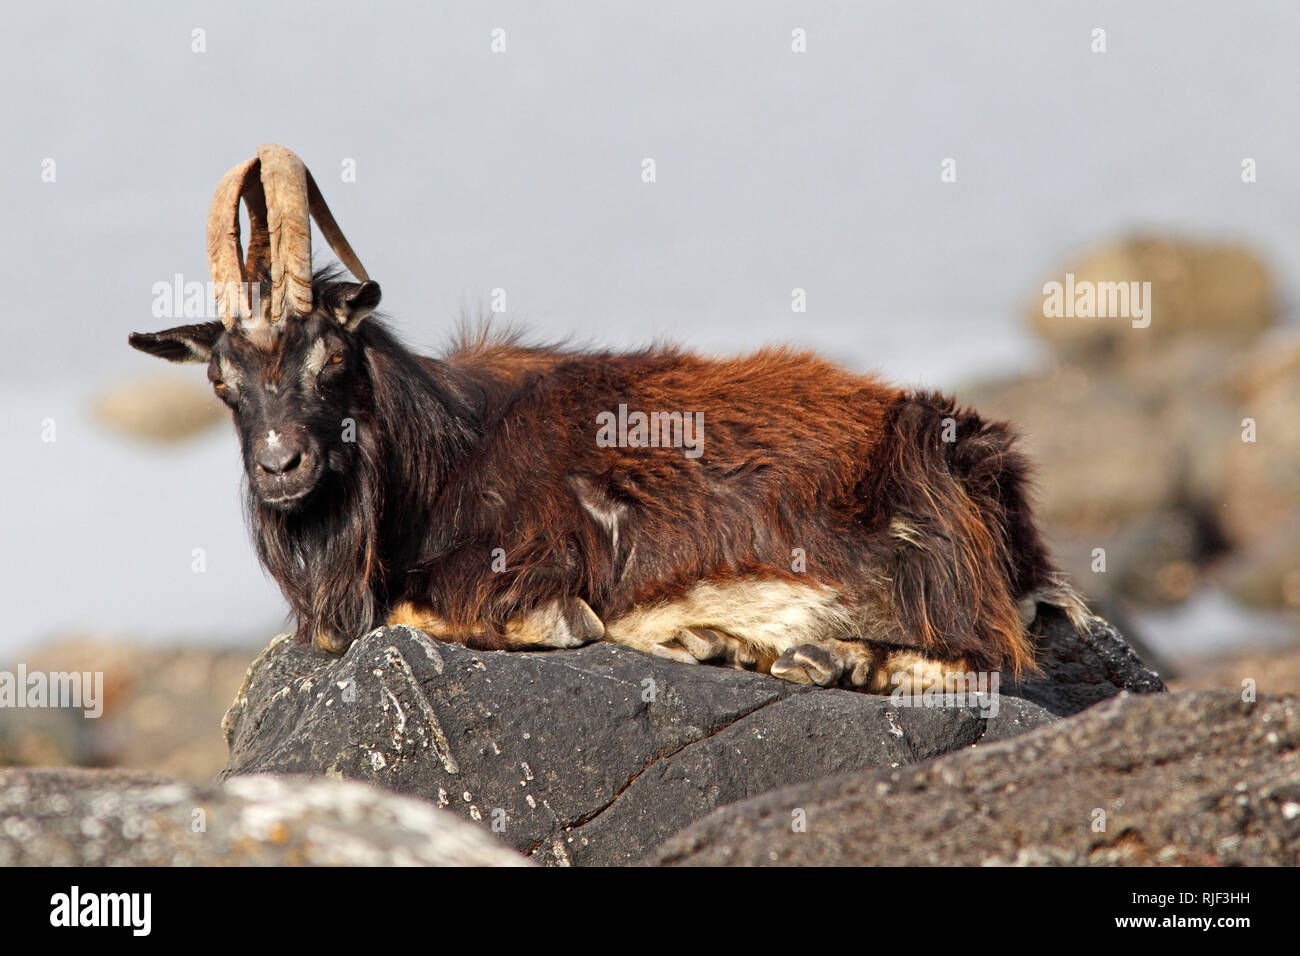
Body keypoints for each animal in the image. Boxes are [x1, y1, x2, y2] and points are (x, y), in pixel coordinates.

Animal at [130, 144, 1087, 693]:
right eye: (221, 380)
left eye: (330, 353)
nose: (280, 466)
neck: (439, 455)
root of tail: (988, 469)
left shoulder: (522, 560)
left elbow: (414, 613)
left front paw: (580, 624)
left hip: (929, 553)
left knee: (989, 653)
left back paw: (803, 653)